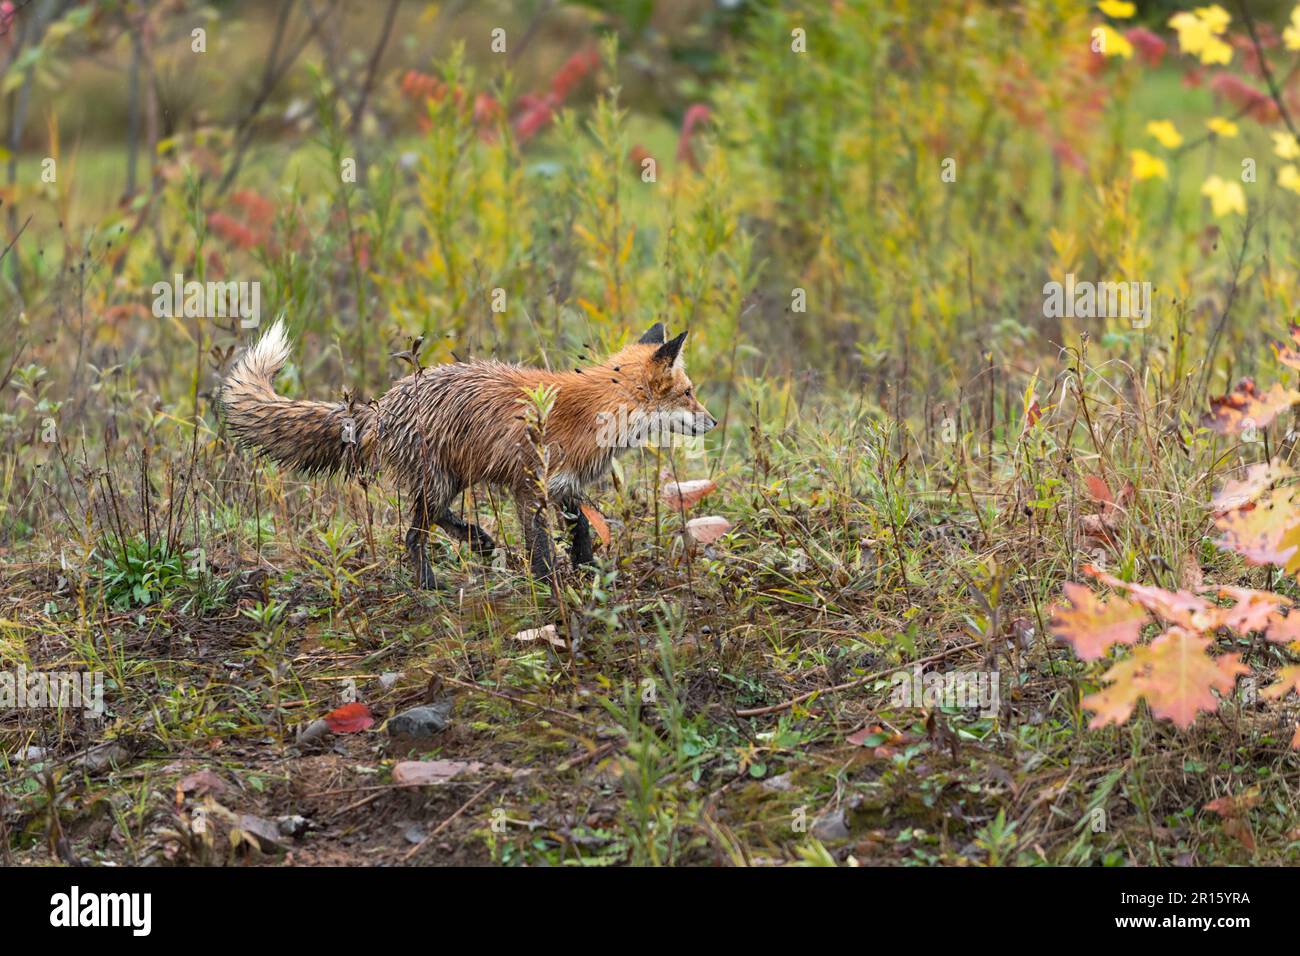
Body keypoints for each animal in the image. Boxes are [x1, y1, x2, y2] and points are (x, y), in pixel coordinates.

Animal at [220, 320, 716, 589]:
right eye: (689, 394)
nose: (713, 422)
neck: (593, 411)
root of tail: (382, 405)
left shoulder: (564, 487)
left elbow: (581, 533)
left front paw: (587, 570)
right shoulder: (529, 487)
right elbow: (540, 546)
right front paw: (548, 585)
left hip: (451, 479)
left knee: (431, 522)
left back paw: (475, 541)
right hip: (438, 481)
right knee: (415, 535)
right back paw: (434, 580)